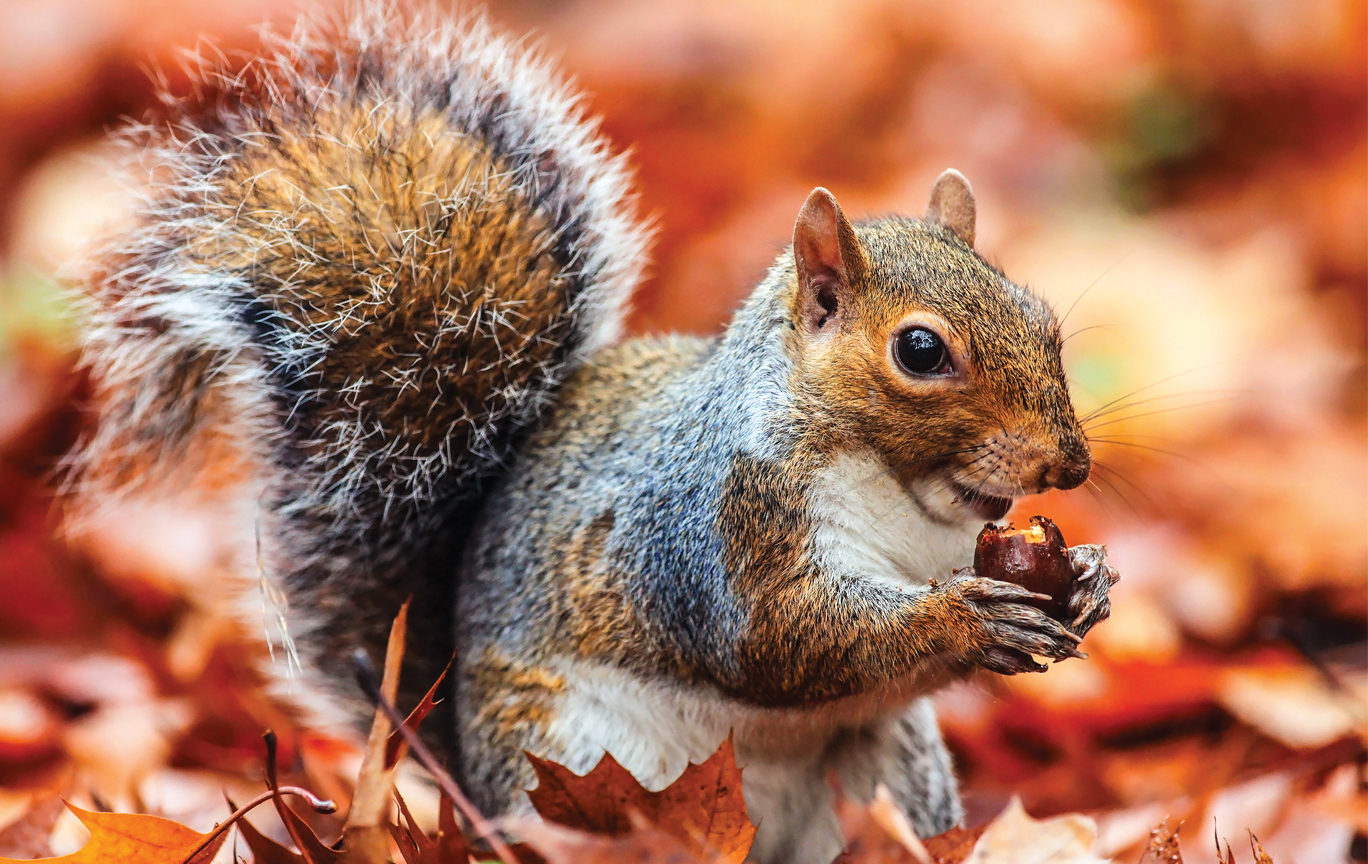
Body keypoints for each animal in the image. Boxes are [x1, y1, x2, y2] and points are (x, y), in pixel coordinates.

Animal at [71, 6, 1119, 862]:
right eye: (920, 350)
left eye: (1042, 319)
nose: (1068, 464)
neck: (905, 499)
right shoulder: (710, 532)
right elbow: (782, 639)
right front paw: (965, 619)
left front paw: (1087, 582)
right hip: (575, 765)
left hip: (887, 772)